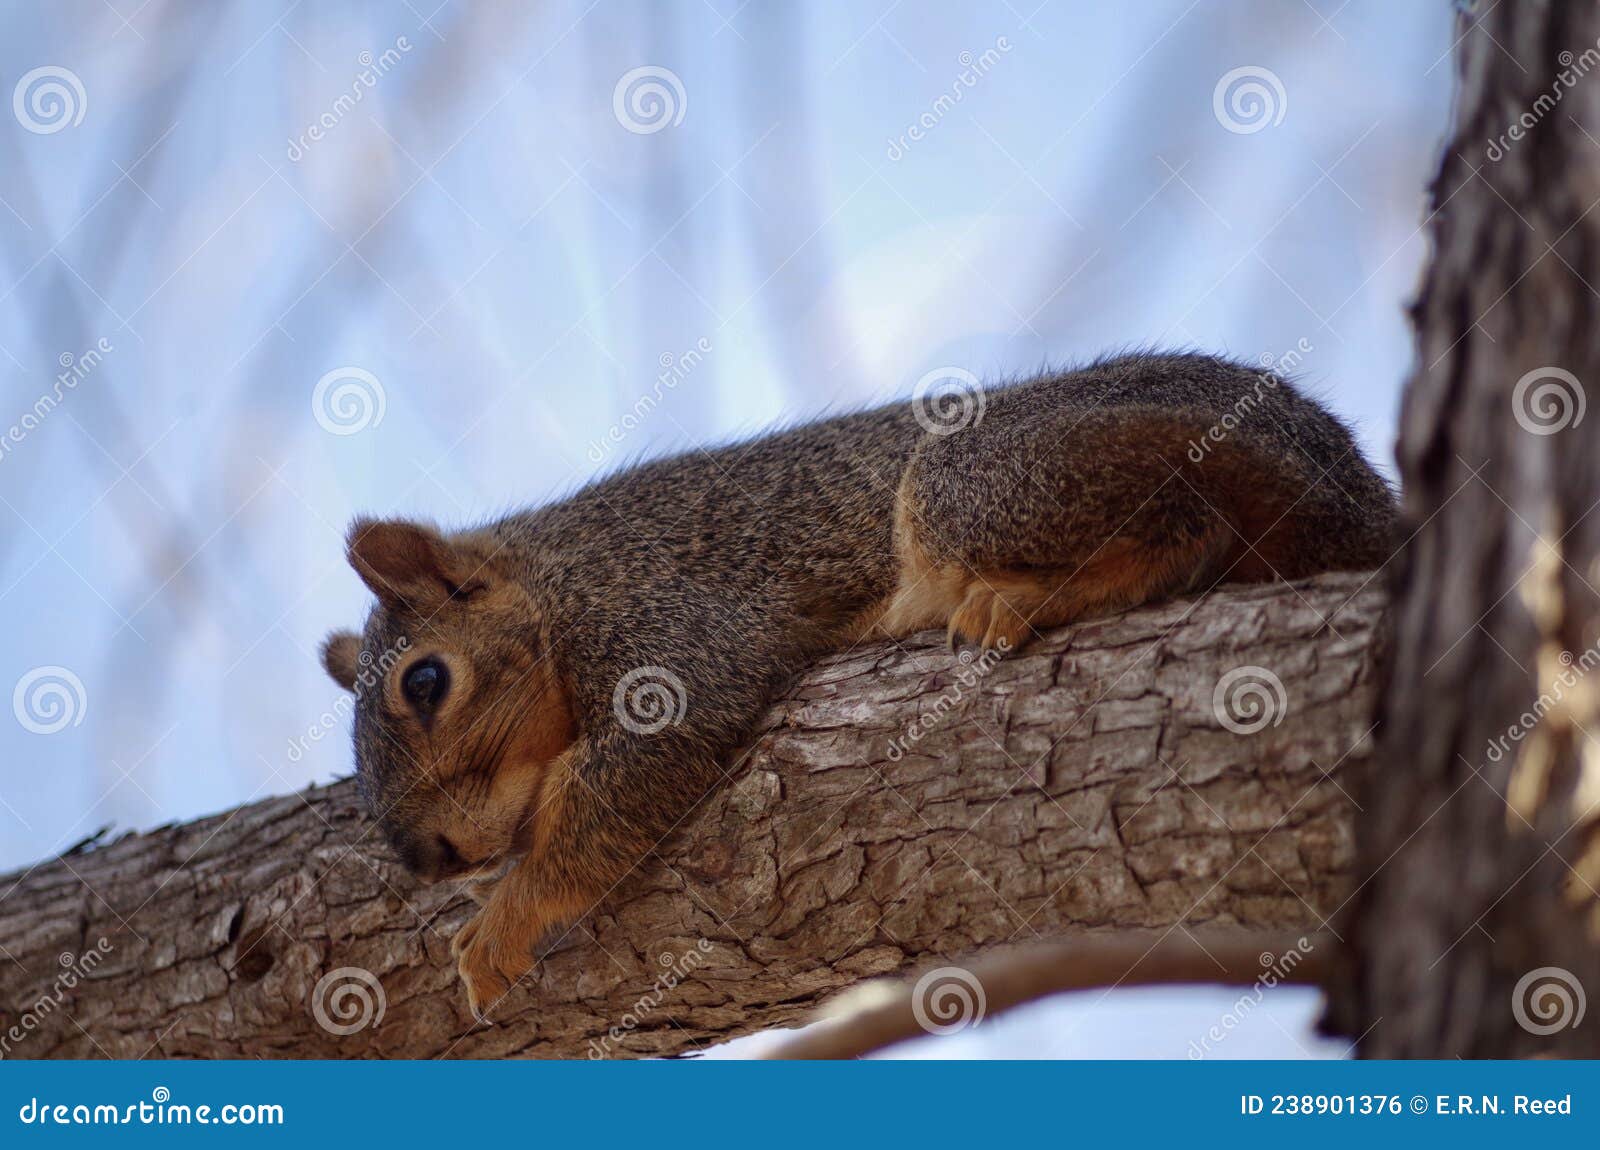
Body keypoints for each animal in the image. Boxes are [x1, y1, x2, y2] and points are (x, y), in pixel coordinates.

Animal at [319, 351, 1395, 1020]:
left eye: (426, 681)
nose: (427, 856)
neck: (556, 582)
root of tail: (1360, 496)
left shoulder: (673, 628)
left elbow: (633, 777)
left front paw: (506, 912)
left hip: (982, 476)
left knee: (1187, 521)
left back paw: (1024, 598)